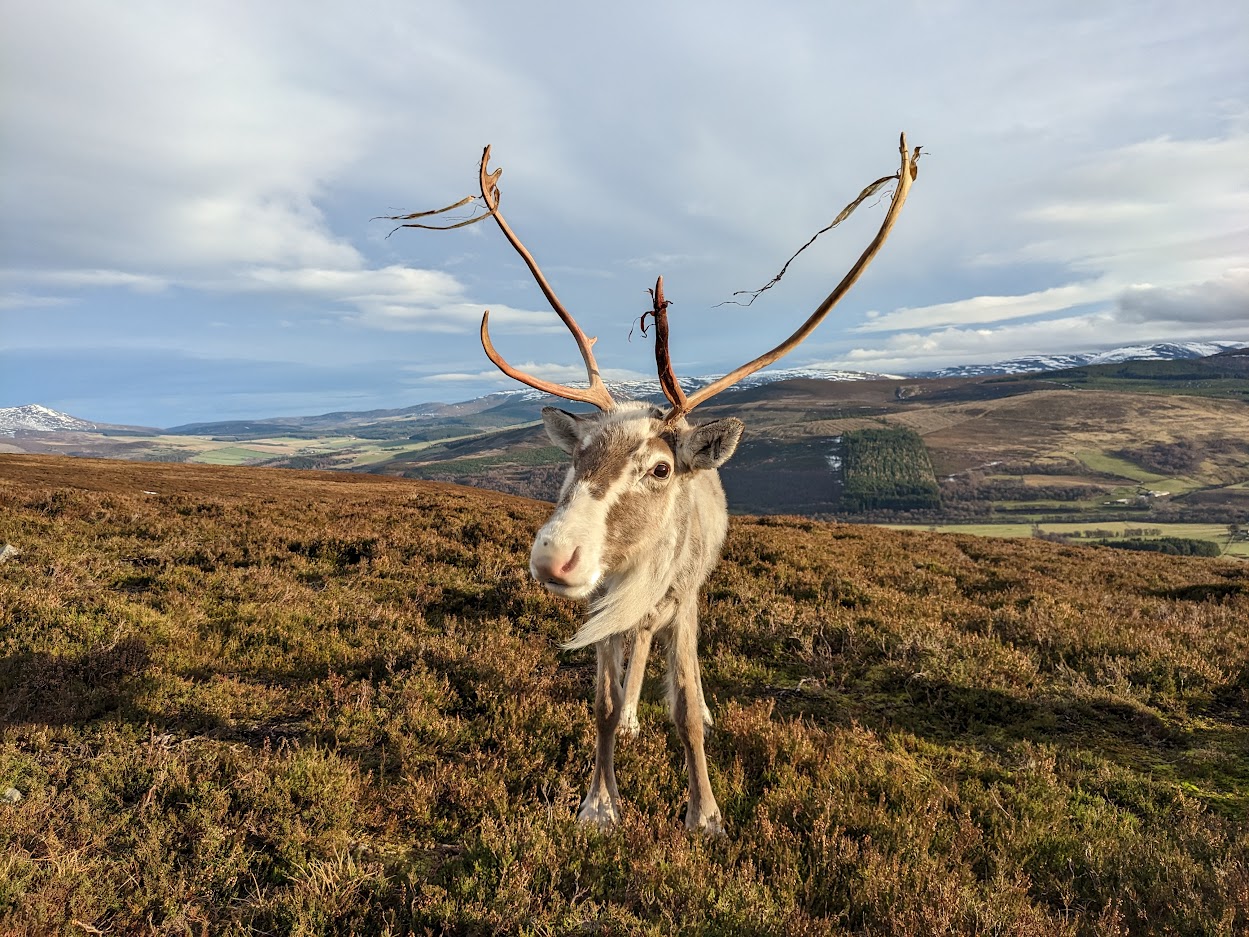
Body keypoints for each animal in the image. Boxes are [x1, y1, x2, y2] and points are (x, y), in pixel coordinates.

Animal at [387, 136, 920, 832]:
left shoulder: (683, 601)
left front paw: (705, 812)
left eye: (660, 469)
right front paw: (599, 802)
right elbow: (603, 706)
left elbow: (687, 711)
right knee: (633, 652)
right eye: (577, 455)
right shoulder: (602, 604)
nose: (555, 557)